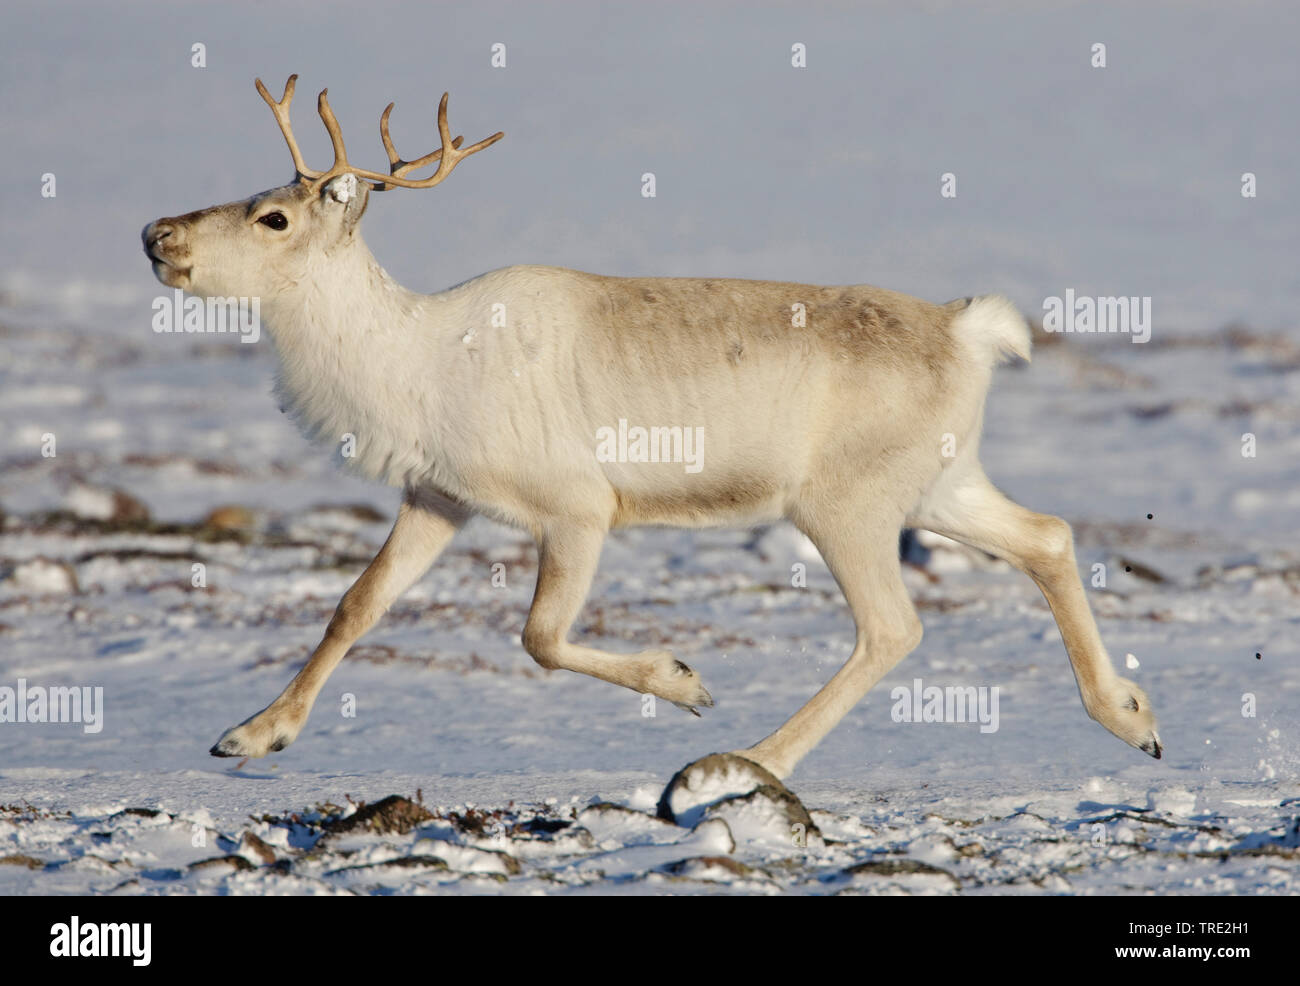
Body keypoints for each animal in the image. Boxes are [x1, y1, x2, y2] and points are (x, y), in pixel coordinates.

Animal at [142, 75, 1161, 781]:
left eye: (273, 216)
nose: (156, 234)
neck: (414, 363)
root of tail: (967, 332)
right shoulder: (437, 495)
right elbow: (356, 605)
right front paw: (250, 734)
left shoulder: (579, 508)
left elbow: (539, 637)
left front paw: (684, 680)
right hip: (942, 484)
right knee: (1048, 536)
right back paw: (1133, 716)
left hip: (847, 504)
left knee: (893, 628)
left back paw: (752, 761)